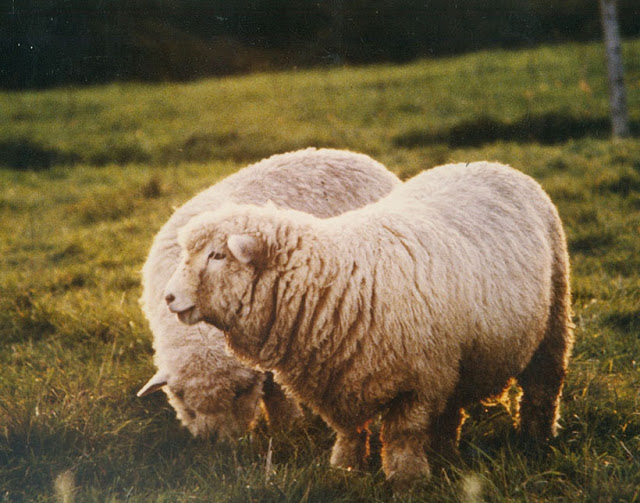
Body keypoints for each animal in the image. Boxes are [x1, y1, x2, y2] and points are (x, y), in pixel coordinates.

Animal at [164, 161, 573, 489]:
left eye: (217, 255)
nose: (168, 297)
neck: (334, 277)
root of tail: (494, 164)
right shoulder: (336, 379)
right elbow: (348, 431)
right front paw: (345, 469)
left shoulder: (417, 383)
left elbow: (402, 435)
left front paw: (407, 480)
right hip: (457, 358)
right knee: (451, 409)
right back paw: (446, 454)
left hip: (552, 320)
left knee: (542, 387)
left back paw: (536, 441)